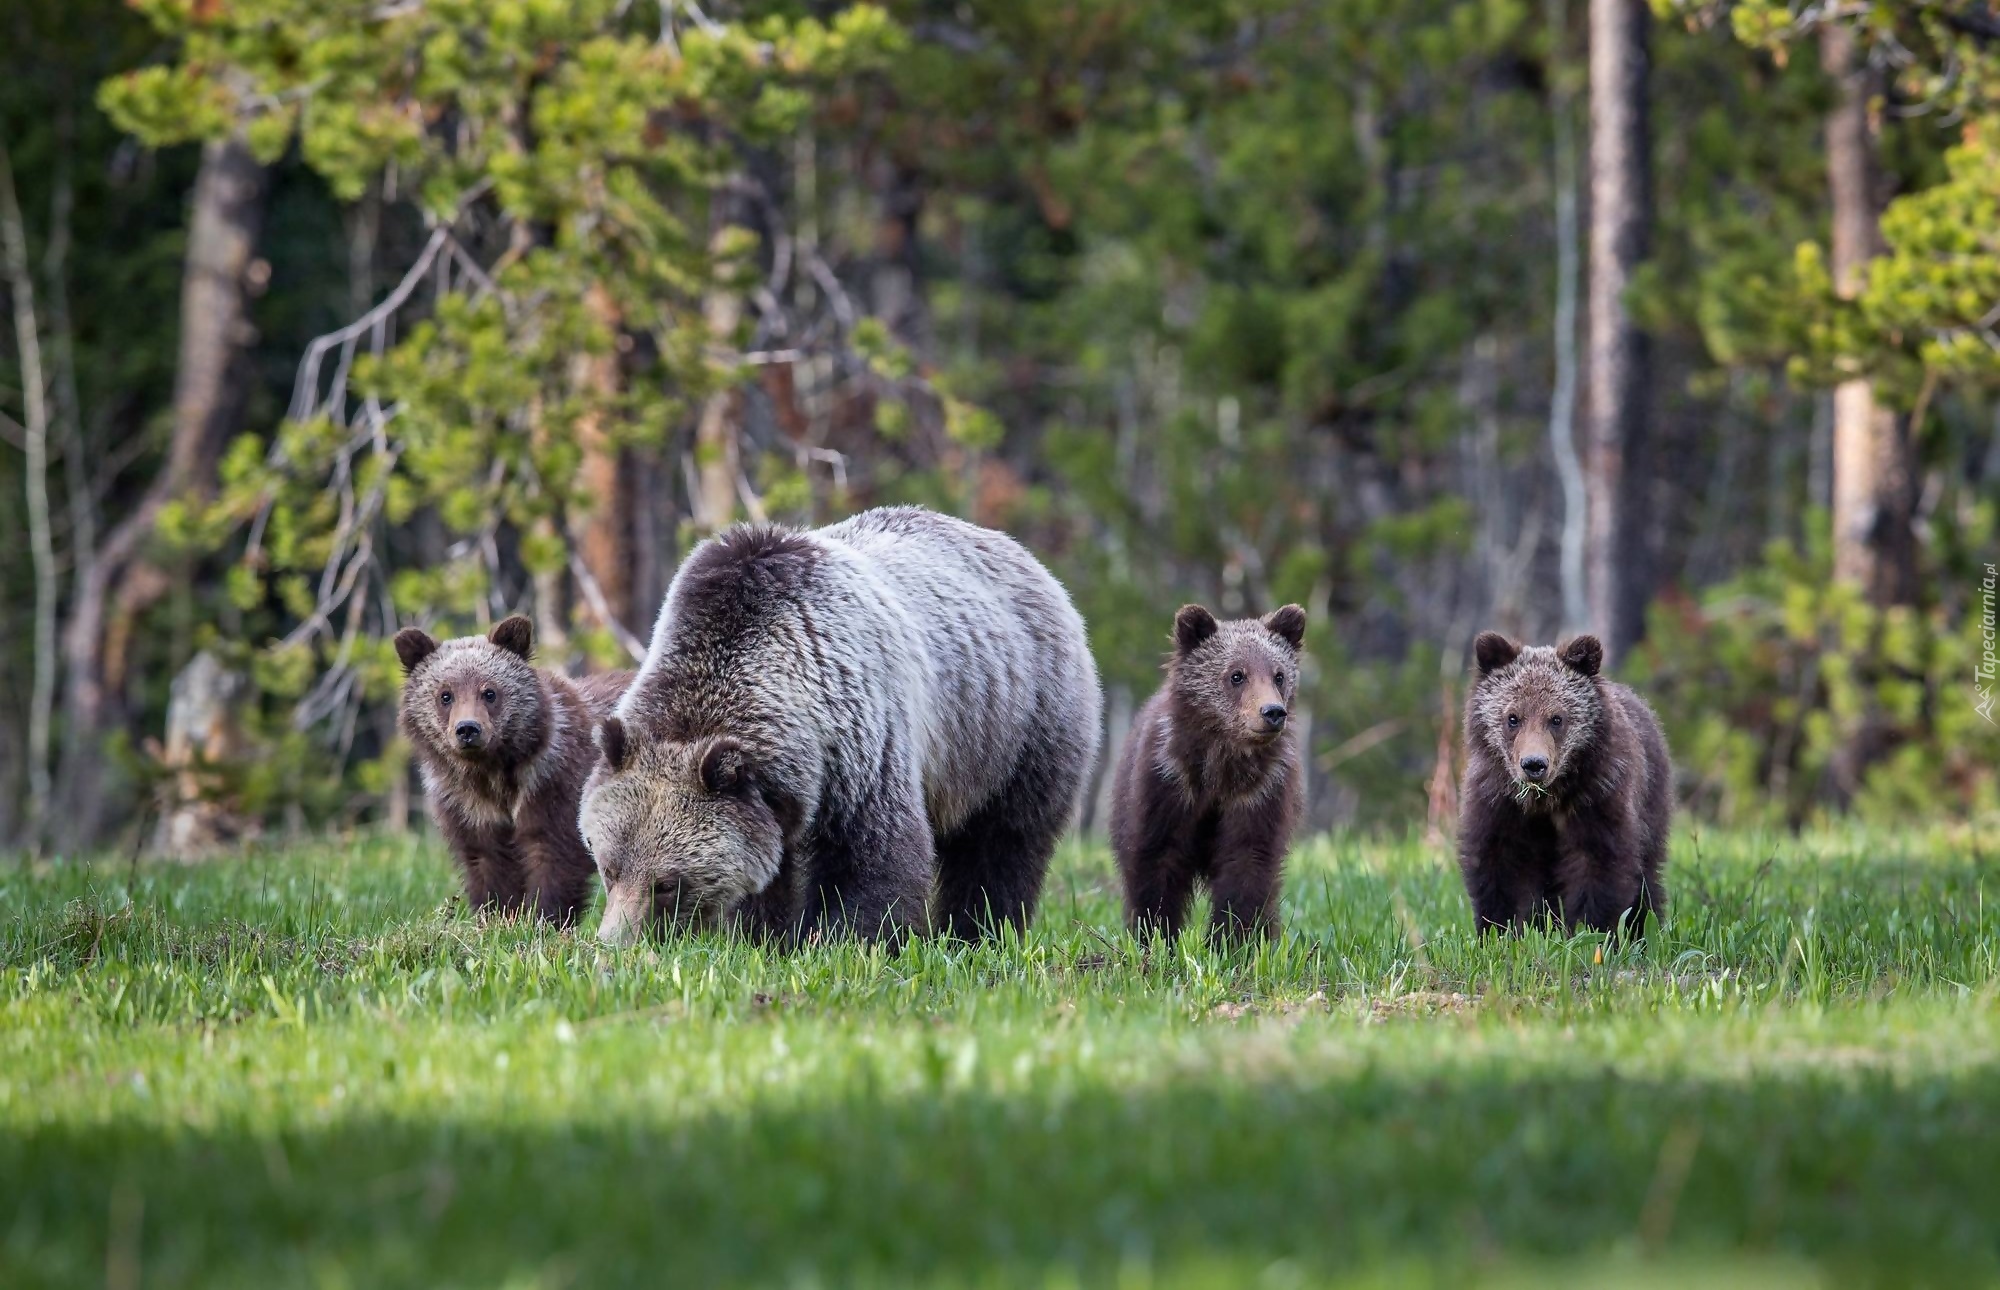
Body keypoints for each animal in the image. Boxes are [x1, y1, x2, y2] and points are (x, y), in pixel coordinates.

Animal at [394, 620, 628, 920]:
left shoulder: (554, 783)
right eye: (445, 695)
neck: (493, 773)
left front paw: (544, 917)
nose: (467, 729)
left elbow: (553, 854)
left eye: (489, 692)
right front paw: (499, 915)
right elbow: (488, 861)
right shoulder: (467, 804)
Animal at [580, 506, 1104, 944]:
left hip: (1017, 723)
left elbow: (874, 857)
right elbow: (769, 873)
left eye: (667, 883)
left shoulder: (861, 736)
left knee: (1003, 842)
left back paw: (981, 933)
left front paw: (847, 941)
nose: (613, 944)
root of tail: (1022, 555)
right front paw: (762, 937)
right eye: (608, 868)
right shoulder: (774, 795)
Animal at [1112, 600, 1312, 940]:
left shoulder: (1260, 791)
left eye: (1279, 675)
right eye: (1237, 675)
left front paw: (1232, 939)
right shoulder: (1170, 780)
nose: (1272, 712)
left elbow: (1247, 865)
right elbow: (1156, 860)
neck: (1222, 766)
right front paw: (1156, 935)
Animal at [1456, 632, 1672, 936]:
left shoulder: (1598, 795)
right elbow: (1495, 865)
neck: (1545, 799)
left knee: (1647, 874)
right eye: (1513, 717)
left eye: (1556, 718)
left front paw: (1591, 930)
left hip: (1651, 801)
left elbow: (1600, 863)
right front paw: (1498, 931)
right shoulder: (1498, 801)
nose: (1534, 764)